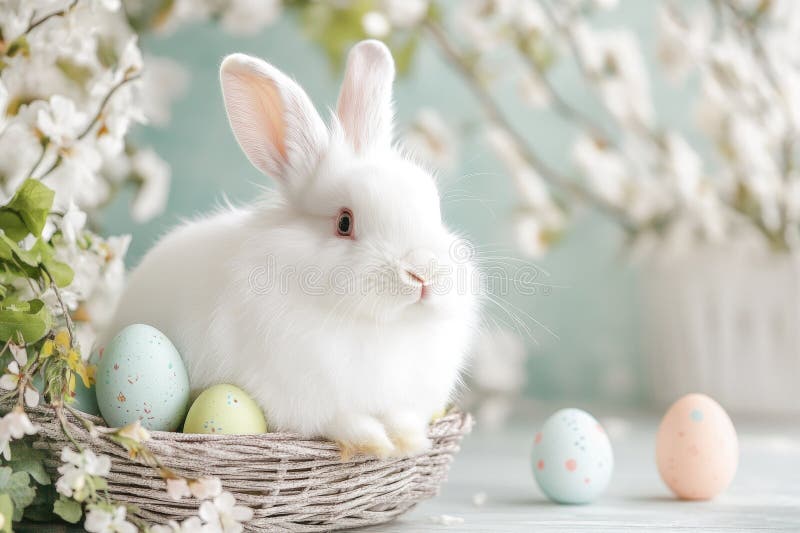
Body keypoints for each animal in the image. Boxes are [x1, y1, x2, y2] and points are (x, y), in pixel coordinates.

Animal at [106, 40, 481, 458]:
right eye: (344, 222)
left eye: (434, 207)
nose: (424, 274)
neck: (375, 325)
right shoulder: (308, 404)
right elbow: (344, 421)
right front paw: (374, 442)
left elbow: (401, 417)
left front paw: (410, 439)